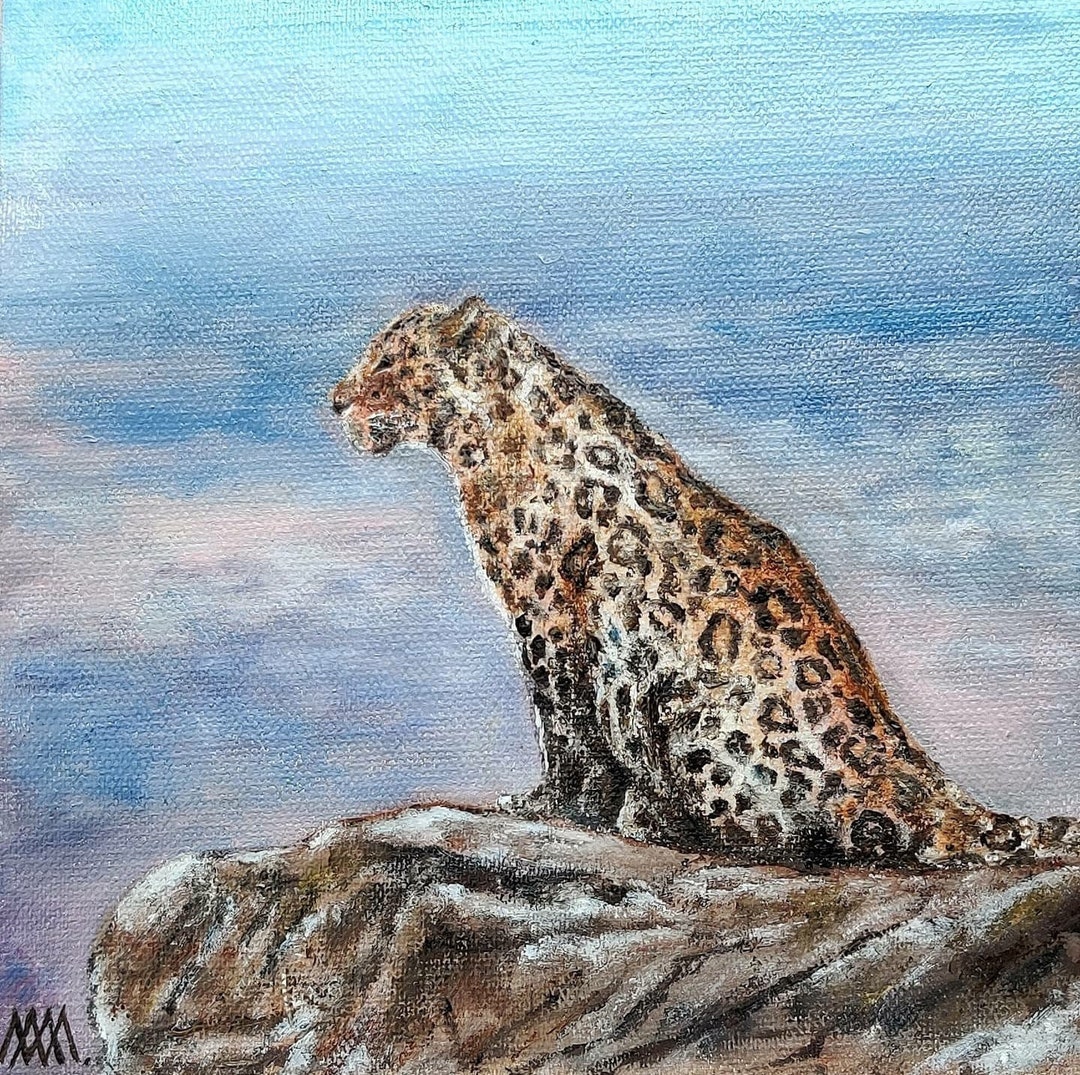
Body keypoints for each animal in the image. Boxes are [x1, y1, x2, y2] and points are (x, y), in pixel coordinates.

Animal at [331, 296, 1080, 867]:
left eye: (389, 362)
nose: (334, 401)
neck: (484, 436)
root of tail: (919, 778)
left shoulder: (550, 618)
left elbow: (565, 726)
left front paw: (552, 805)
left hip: (682, 700)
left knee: (792, 835)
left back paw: (652, 815)